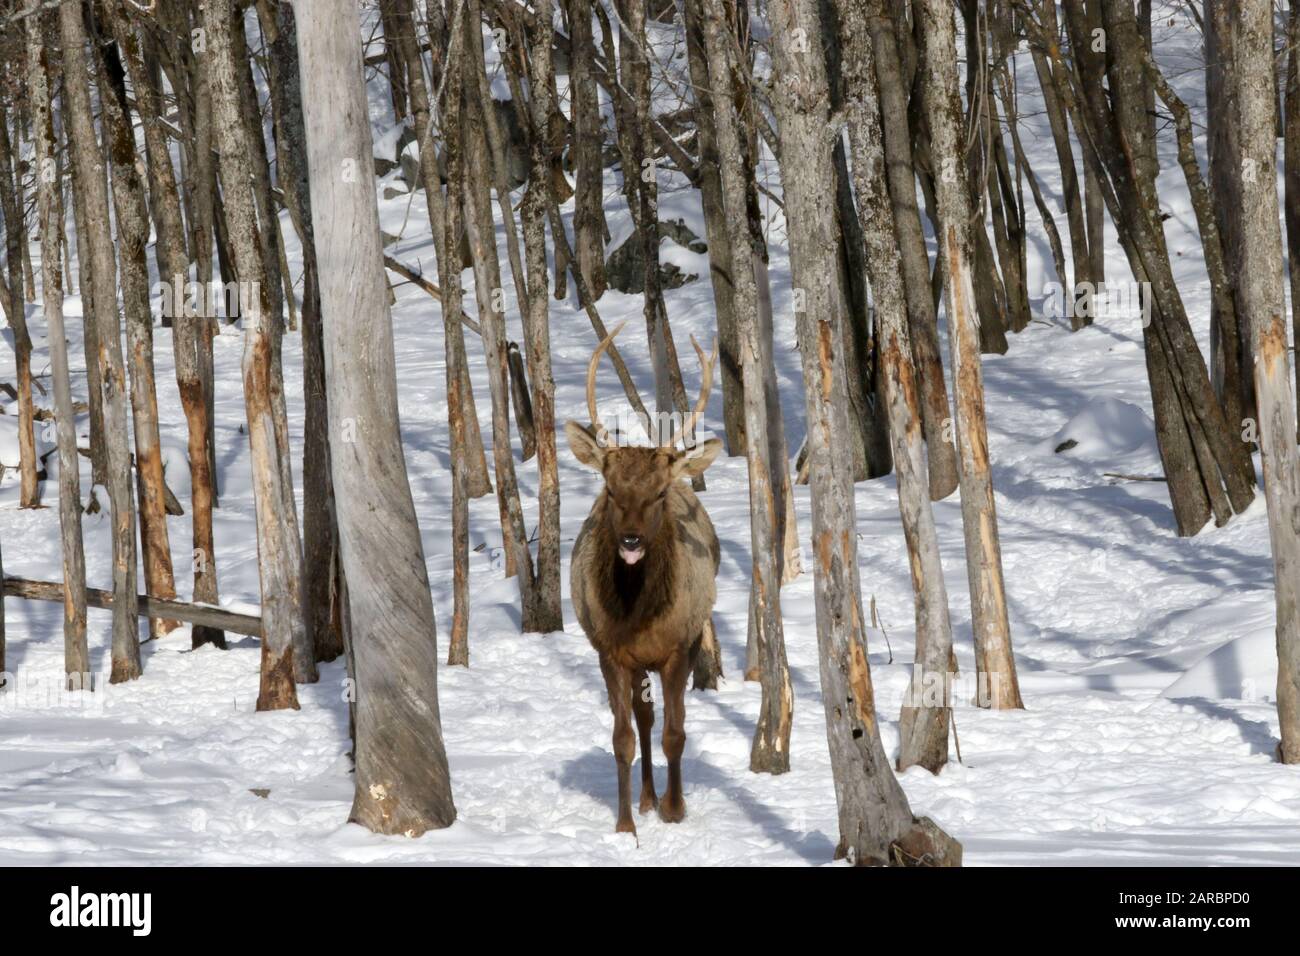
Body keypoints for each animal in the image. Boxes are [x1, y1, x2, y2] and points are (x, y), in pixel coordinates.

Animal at [565, 322, 722, 837]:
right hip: (636, 664)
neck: (641, 616)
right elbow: (623, 738)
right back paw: (647, 798)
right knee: (644, 717)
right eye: (611, 490)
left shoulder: (680, 645)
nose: (631, 540)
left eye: (658, 493)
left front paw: (676, 809)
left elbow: (677, 732)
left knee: (664, 719)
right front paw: (625, 824)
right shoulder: (610, 651)